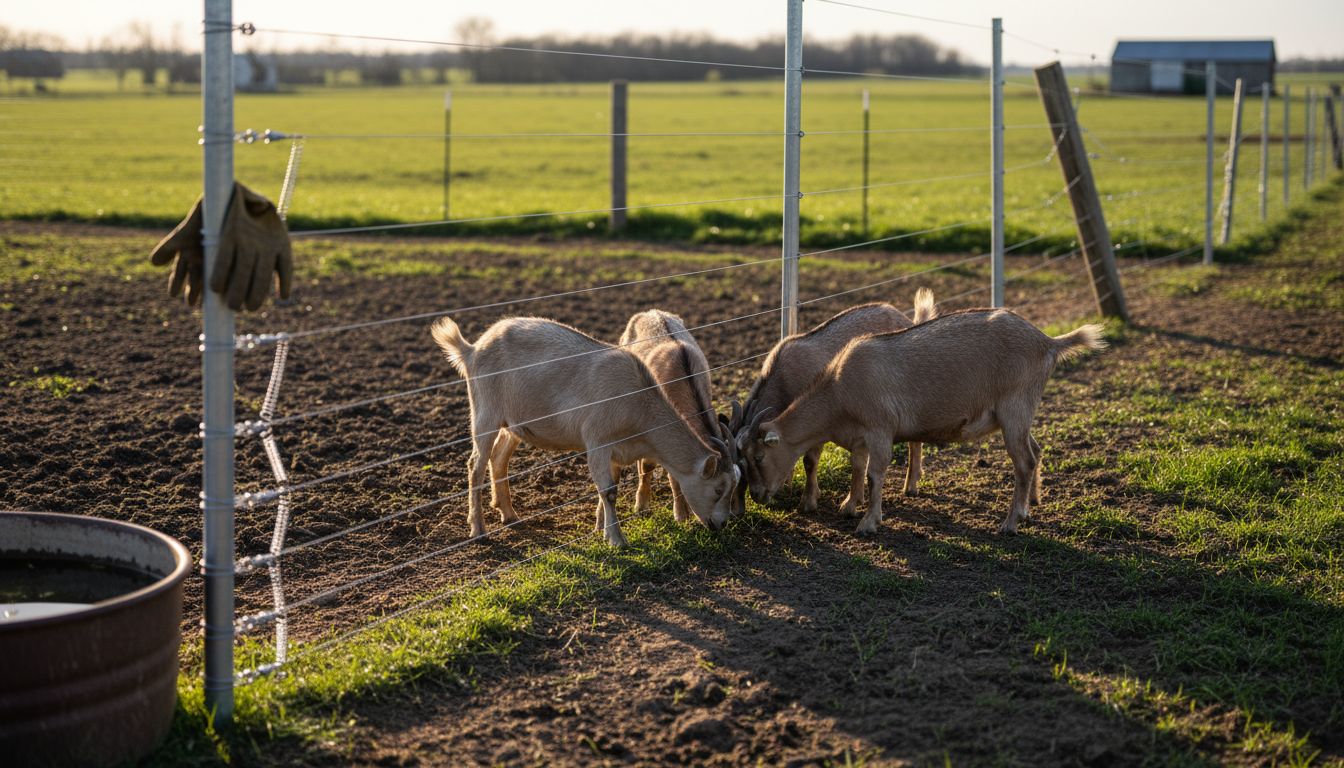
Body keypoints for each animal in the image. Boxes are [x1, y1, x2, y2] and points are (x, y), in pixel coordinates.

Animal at [731, 289, 937, 517]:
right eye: (738, 462)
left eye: (757, 458)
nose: (752, 499)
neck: (783, 380)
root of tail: (905, 319)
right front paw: (788, 485)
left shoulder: (818, 423)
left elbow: (810, 461)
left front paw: (809, 501)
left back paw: (911, 485)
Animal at [738, 308, 1105, 535]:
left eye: (759, 456)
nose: (757, 495)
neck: (839, 389)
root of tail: (1048, 342)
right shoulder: (858, 436)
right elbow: (857, 469)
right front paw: (848, 506)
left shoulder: (880, 429)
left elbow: (874, 474)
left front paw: (868, 523)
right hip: (1021, 414)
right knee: (1036, 450)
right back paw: (1030, 506)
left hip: (1014, 407)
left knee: (1024, 461)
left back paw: (1011, 523)